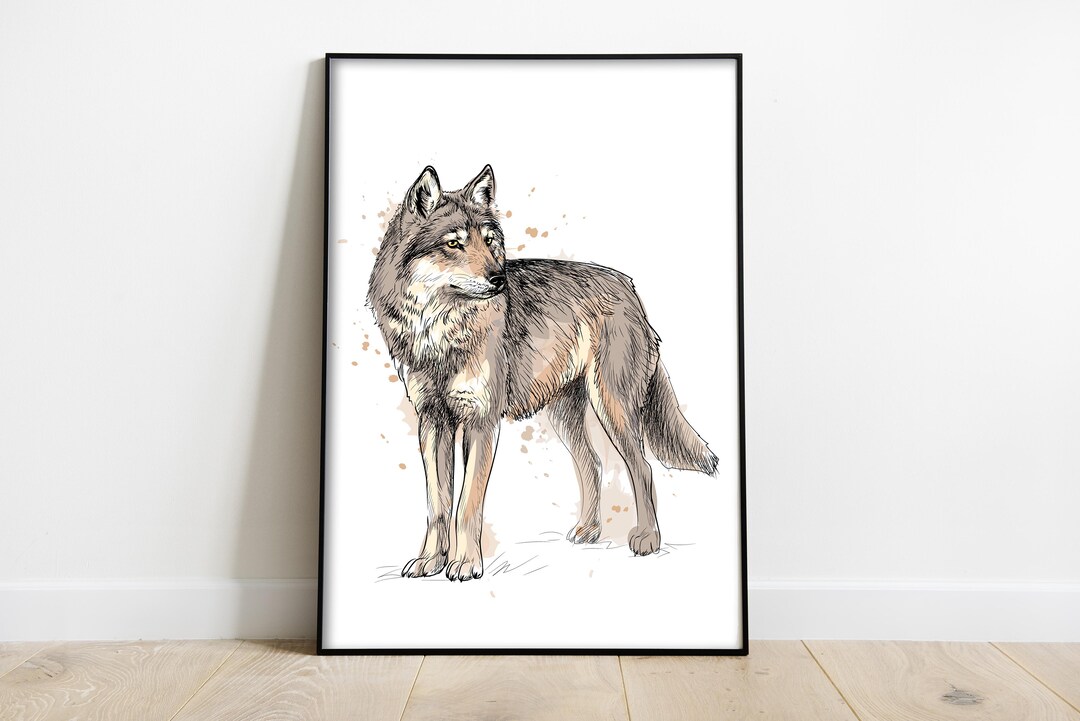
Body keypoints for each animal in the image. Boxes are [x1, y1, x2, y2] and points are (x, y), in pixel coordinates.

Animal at [368, 165, 718, 581]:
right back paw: (587, 531)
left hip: (612, 408)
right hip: (565, 415)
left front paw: (465, 564)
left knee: (643, 468)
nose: (498, 278)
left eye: (489, 241)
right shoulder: (433, 423)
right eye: (454, 244)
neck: (441, 332)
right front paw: (430, 561)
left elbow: (467, 505)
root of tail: (630, 289)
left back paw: (647, 538)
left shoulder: (481, 422)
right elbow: (438, 505)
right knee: (593, 464)